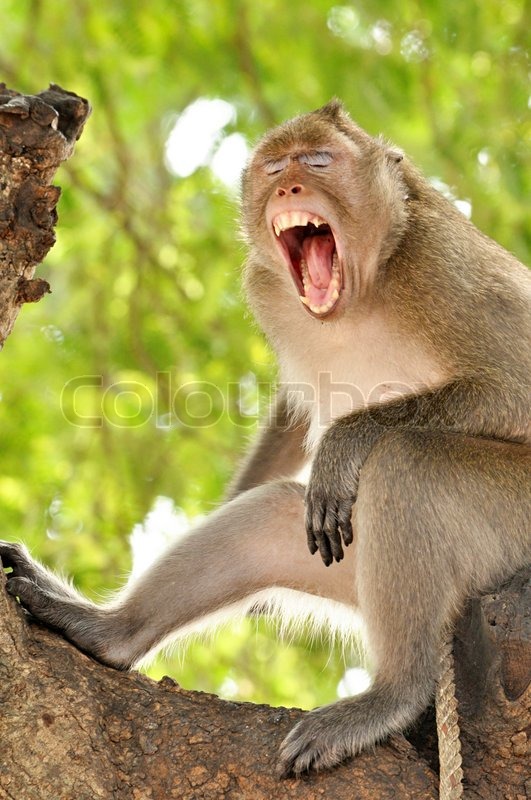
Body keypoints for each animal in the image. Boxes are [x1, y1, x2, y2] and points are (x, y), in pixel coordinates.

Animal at [1, 100, 530, 777]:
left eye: (319, 161)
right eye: (276, 168)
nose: (289, 188)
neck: (365, 287)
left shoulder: (444, 271)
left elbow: (514, 387)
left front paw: (346, 440)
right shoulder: (268, 290)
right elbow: (293, 415)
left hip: (514, 522)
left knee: (407, 466)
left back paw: (393, 694)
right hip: (352, 561)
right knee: (279, 515)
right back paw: (108, 633)